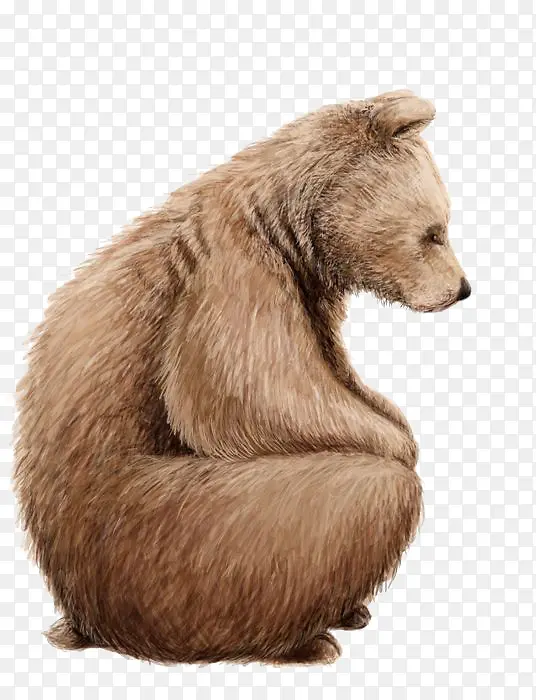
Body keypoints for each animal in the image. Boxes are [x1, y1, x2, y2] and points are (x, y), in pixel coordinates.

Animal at [13, 90, 471, 666]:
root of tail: (82, 613)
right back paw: (304, 641)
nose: (463, 288)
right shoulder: (232, 273)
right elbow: (249, 397)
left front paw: (398, 423)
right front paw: (398, 444)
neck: (291, 224)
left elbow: (335, 376)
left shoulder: (311, 295)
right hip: (174, 537)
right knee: (370, 496)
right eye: (436, 232)